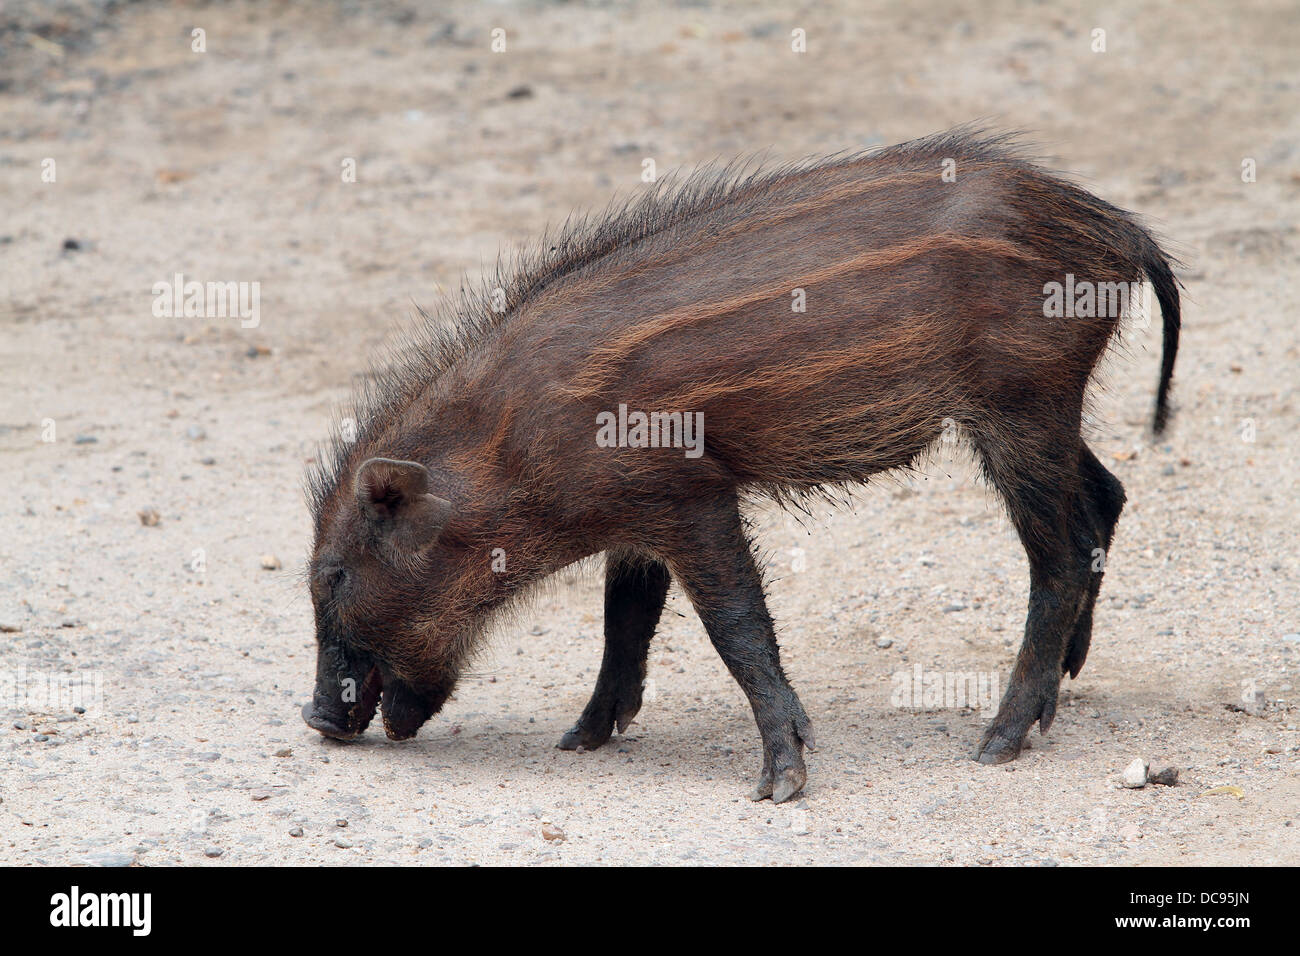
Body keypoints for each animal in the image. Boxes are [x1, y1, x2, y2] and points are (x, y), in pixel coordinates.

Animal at [301, 128, 1180, 803]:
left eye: (336, 574)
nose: (316, 722)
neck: (507, 449)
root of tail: (1121, 232)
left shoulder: (691, 495)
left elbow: (736, 628)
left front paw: (781, 780)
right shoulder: (638, 517)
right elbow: (626, 622)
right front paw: (581, 737)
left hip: (1021, 406)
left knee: (1060, 551)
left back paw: (999, 739)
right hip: (1042, 410)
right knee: (1106, 496)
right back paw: (1064, 687)